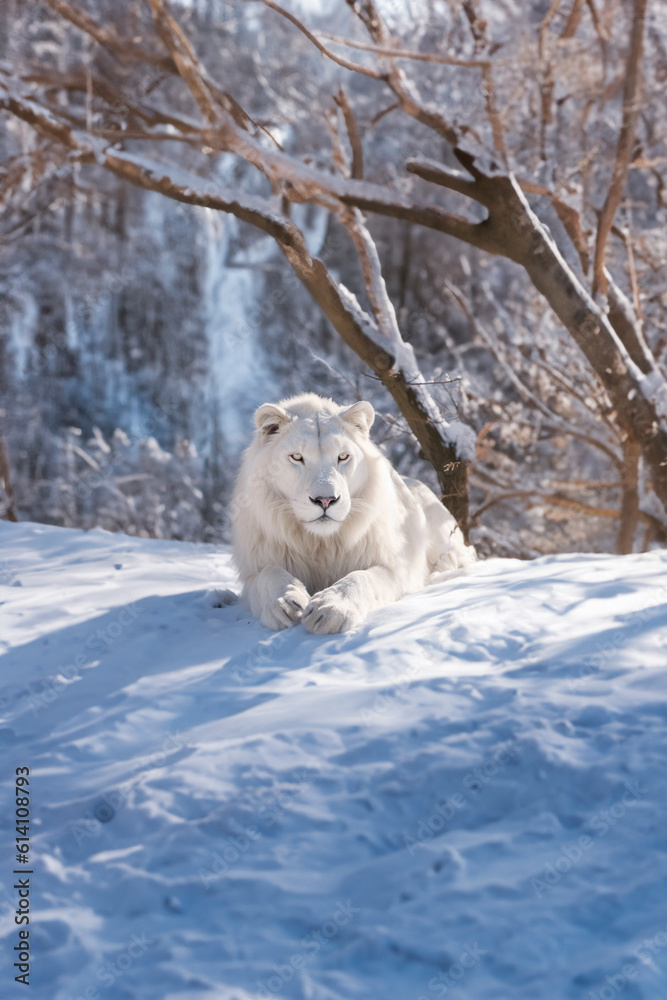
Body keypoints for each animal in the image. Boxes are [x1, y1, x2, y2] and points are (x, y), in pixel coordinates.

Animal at [231, 393, 475, 634]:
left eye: (343, 457)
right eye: (297, 457)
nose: (326, 500)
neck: (322, 544)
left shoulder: (395, 569)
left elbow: (362, 578)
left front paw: (330, 609)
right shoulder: (253, 573)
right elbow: (268, 573)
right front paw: (285, 601)